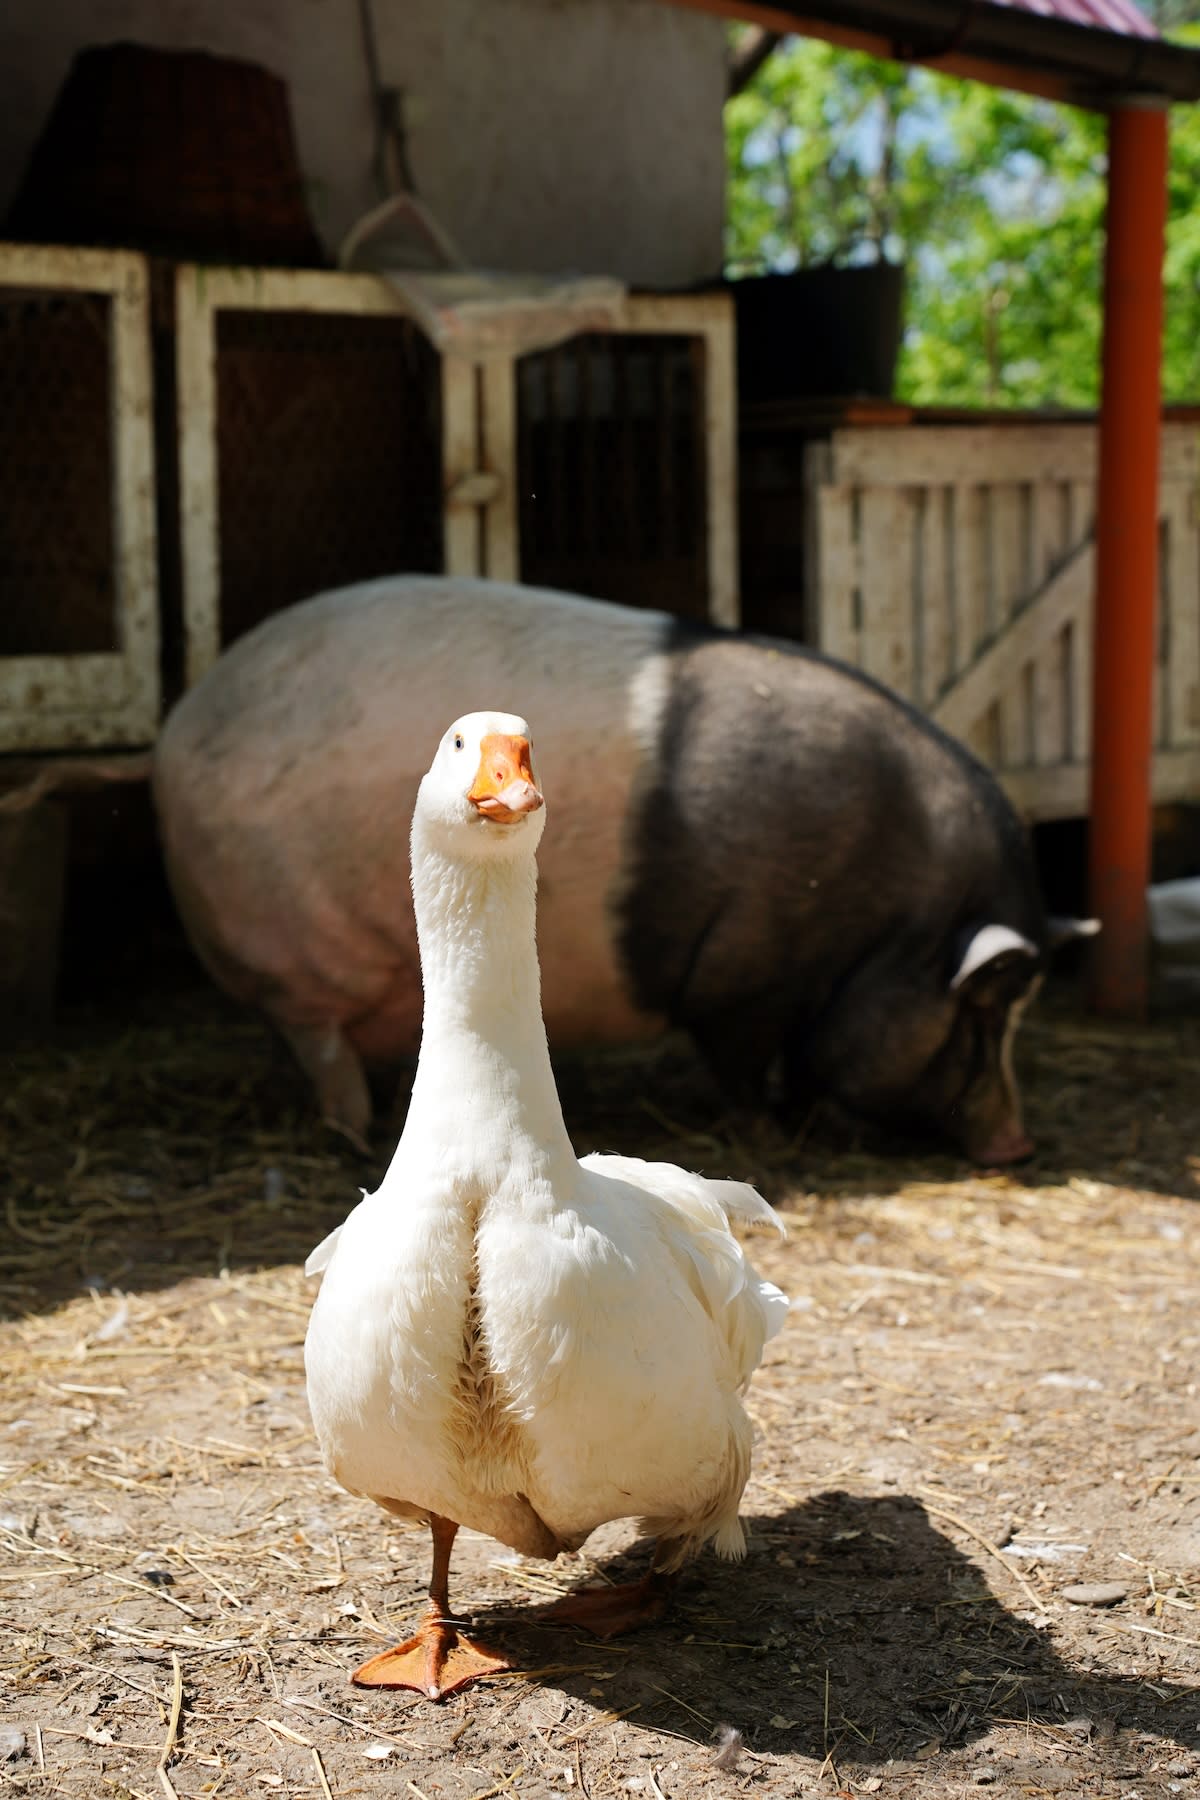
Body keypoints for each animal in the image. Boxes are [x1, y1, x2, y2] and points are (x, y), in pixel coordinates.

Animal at [152, 574, 1088, 1163]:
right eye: (986, 1008)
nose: (1019, 1146)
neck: (888, 920)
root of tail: (179, 728)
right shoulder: (743, 969)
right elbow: (741, 1059)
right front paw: (768, 1136)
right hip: (287, 959)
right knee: (321, 1049)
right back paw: (357, 1133)